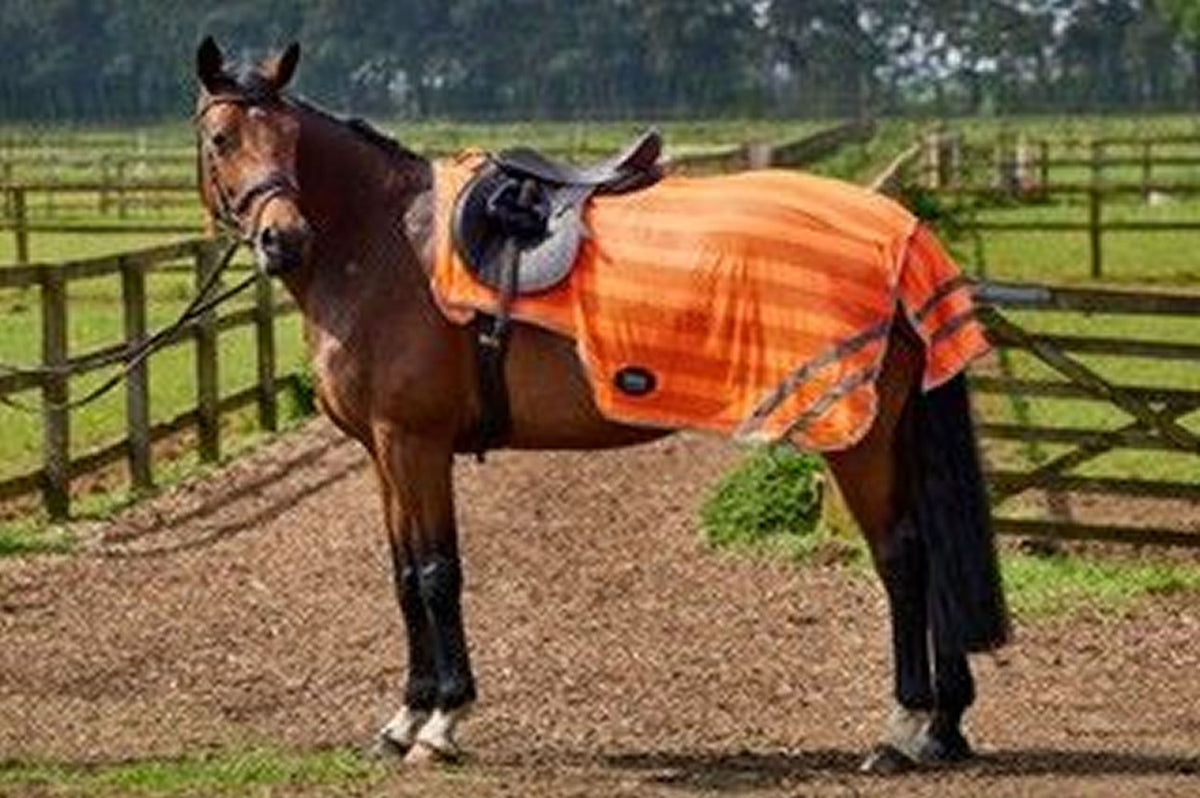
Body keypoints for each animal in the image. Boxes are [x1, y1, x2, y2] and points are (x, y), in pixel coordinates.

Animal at [192, 38, 1009, 772]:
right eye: (222, 138)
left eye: (290, 140)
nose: (283, 238)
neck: (388, 248)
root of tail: (902, 234)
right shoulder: (382, 450)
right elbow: (403, 576)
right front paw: (405, 716)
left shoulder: (414, 443)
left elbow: (436, 572)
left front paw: (444, 719)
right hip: (891, 432)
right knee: (931, 554)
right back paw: (942, 728)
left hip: (856, 438)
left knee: (902, 557)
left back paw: (902, 731)